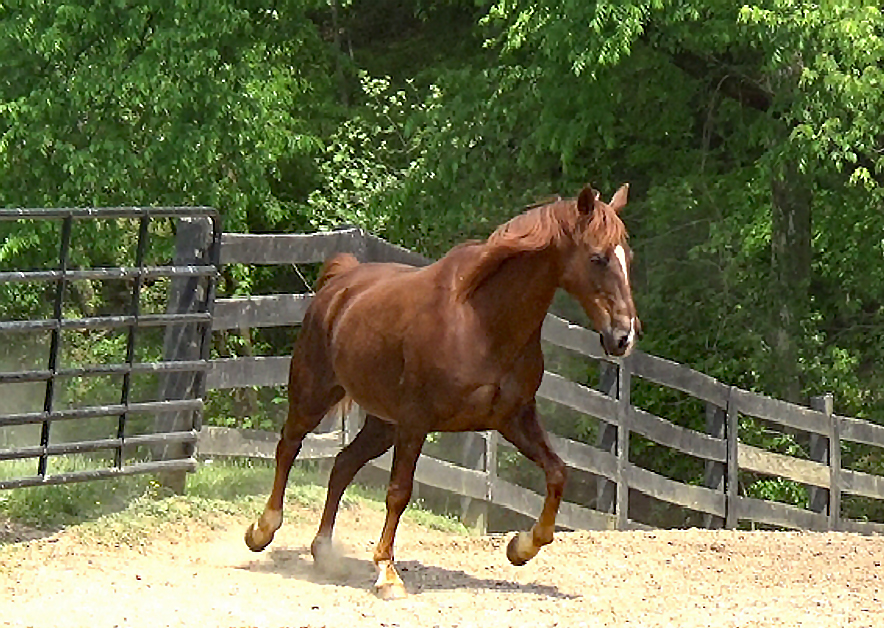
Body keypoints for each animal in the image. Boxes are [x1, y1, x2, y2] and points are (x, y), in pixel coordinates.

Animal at [244, 184, 639, 599]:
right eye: (597, 258)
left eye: (627, 257)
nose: (623, 337)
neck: (482, 321)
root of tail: (343, 280)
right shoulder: (416, 421)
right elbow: (399, 492)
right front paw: (388, 574)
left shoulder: (513, 418)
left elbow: (558, 473)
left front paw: (522, 547)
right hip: (314, 393)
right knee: (288, 447)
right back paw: (262, 530)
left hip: (382, 424)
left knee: (342, 465)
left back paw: (322, 552)